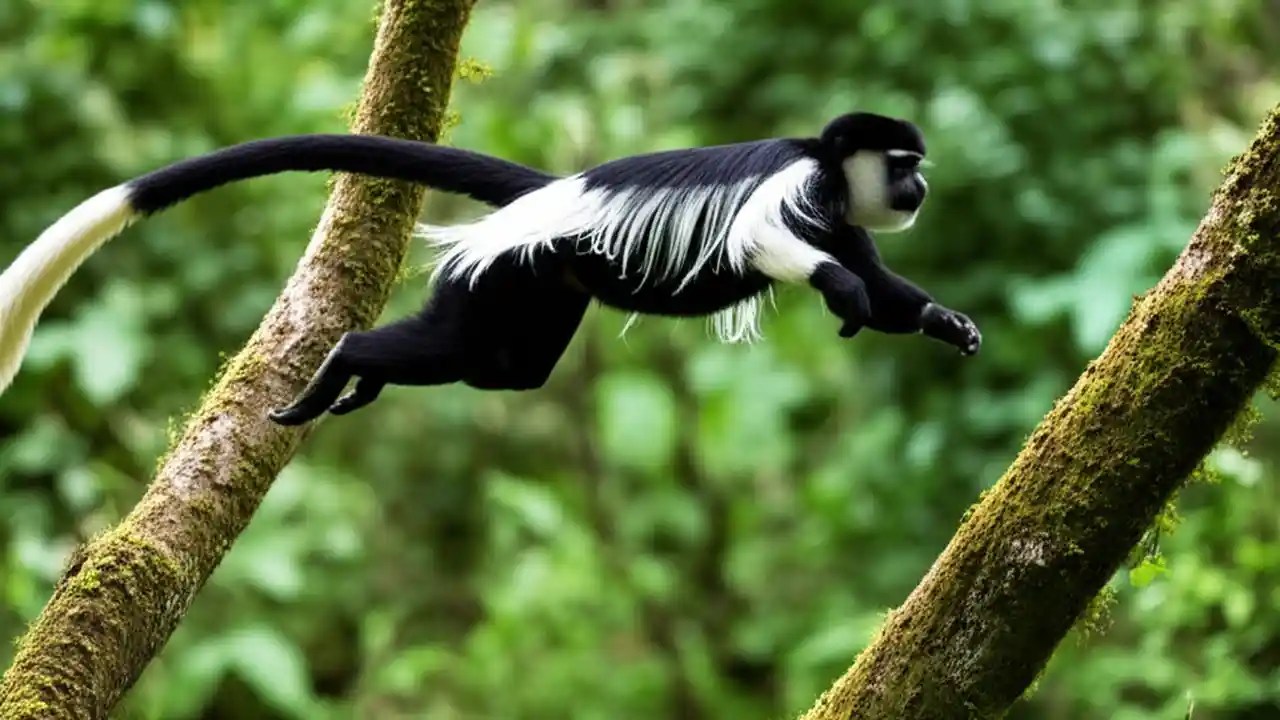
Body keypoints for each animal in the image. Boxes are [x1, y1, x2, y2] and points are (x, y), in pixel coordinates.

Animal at [0, 111, 980, 426]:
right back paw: (342, 366)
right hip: (508, 274)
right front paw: (840, 294)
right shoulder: (797, 193)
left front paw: (944, 322)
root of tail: (555, 195)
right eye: (902, 163)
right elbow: (762, 245)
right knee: (459, 349)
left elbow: (887, 288)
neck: (831, 174)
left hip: (542, 286)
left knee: (505, 368)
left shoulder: (847, 221)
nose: (923, 185)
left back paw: (358, 381)